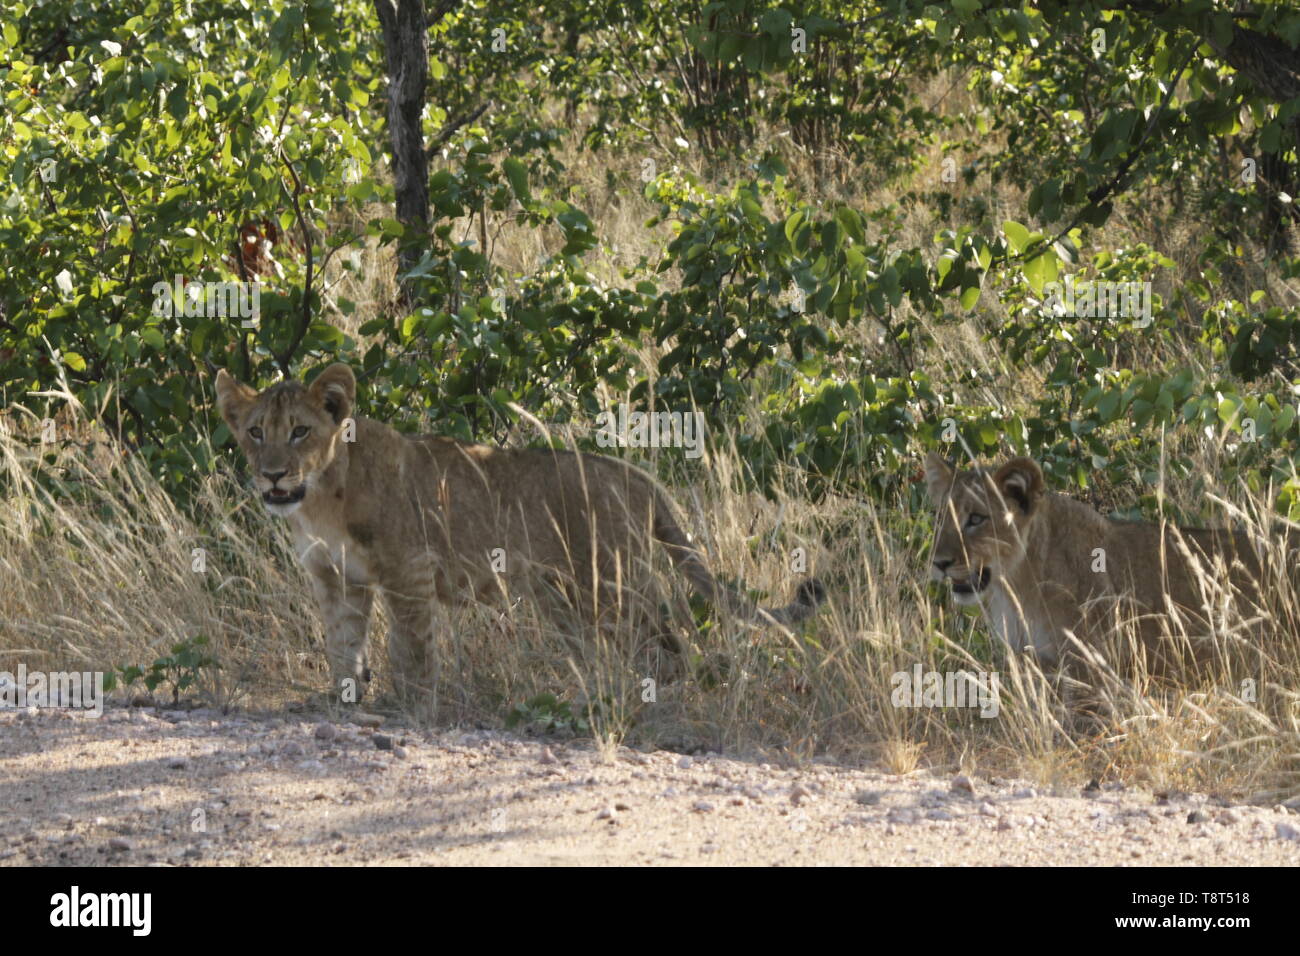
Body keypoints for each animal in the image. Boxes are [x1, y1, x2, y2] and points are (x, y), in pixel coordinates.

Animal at [214, 363, 822, 699]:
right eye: (255, 432)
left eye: (299, 432)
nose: (272, 475)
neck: (319, 498)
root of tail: (635, 474)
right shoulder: (337, 579)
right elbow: (342, 646)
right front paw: (341, 701)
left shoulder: (408, 571)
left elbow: (412, 649)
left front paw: (410, 705)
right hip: (564, 599)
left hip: (610, 585)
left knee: (668, 646)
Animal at [922, 452, 1286, 678]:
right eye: (940, 519)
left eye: (976, 519)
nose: (939, 563)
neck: (1013, 584)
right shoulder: (1036, 659)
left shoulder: (1088, 660)